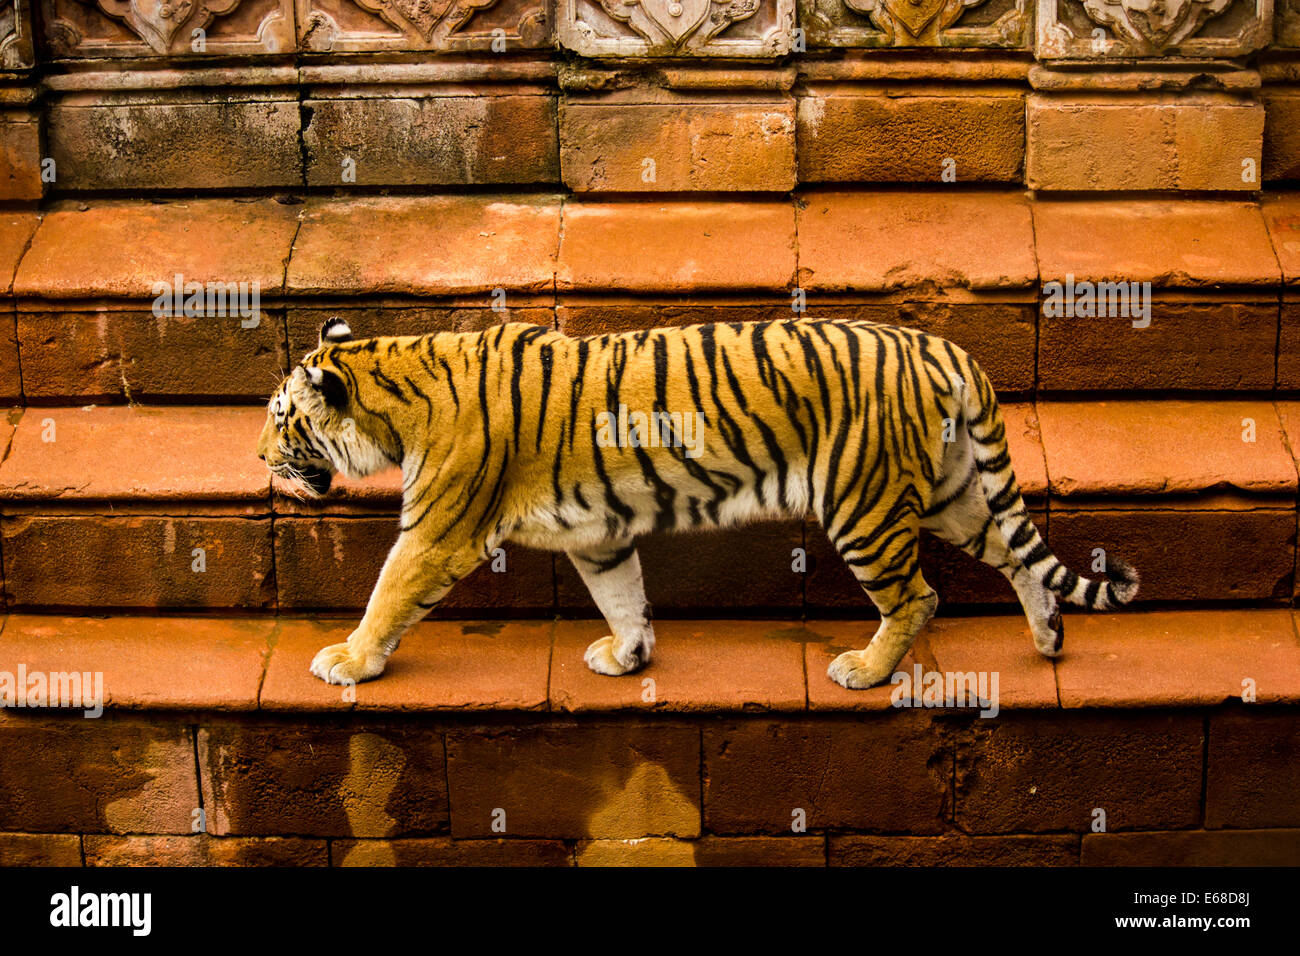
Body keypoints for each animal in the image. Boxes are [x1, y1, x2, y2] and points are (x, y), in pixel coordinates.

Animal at [257, 317, 1139, 690]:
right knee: (1015, 555)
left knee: (917, 596)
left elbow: (388, 591)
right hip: (950, 493)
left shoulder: (438, 530)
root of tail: (940, 344)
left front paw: (349, 660)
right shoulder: (597, 532)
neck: (395, 391)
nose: (259, 459)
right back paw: (1048, 638)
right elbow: (622, 596)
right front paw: (629, 657)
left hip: (865, 503)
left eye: (279, 417)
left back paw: (866, 668)